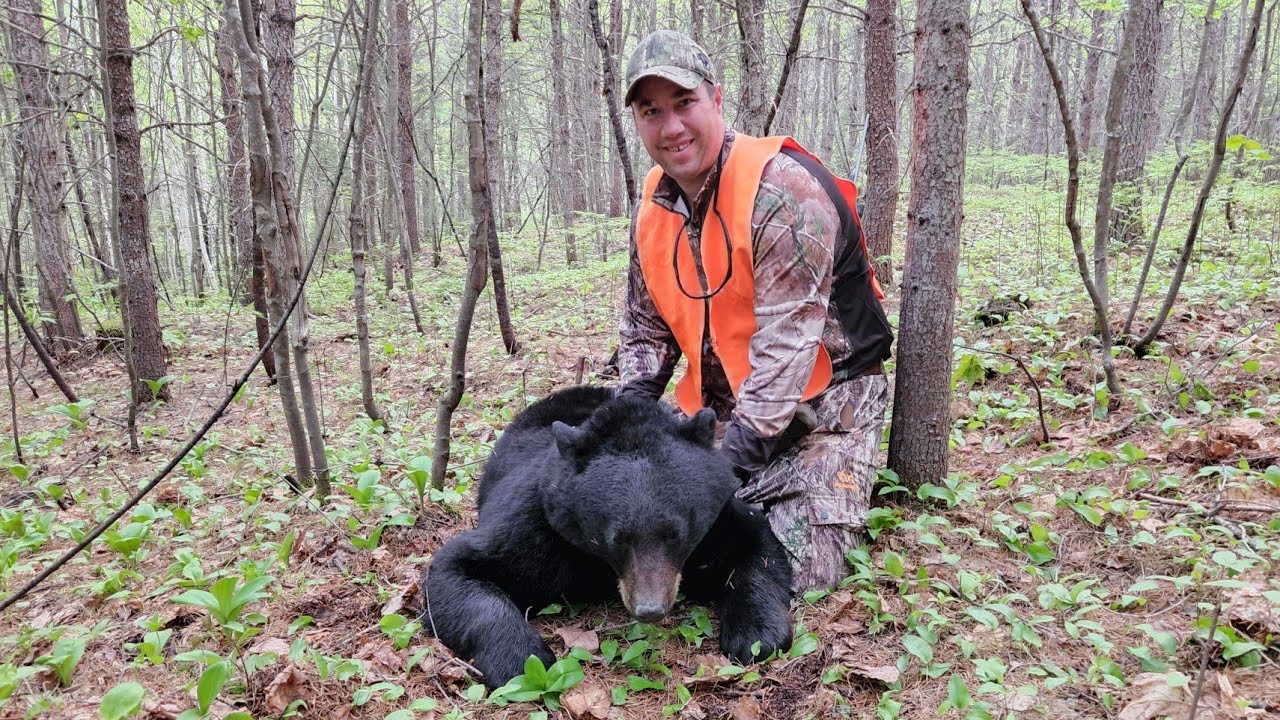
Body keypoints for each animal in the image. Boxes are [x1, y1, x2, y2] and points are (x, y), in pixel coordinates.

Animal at [422, 386, 793, 688]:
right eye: (617, 538)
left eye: (676, 534)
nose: (650, 608)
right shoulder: (536, 525)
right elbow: (455, 567)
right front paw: (523, 659)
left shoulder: (718, 523)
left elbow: (759, 546)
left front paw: (757, 636)